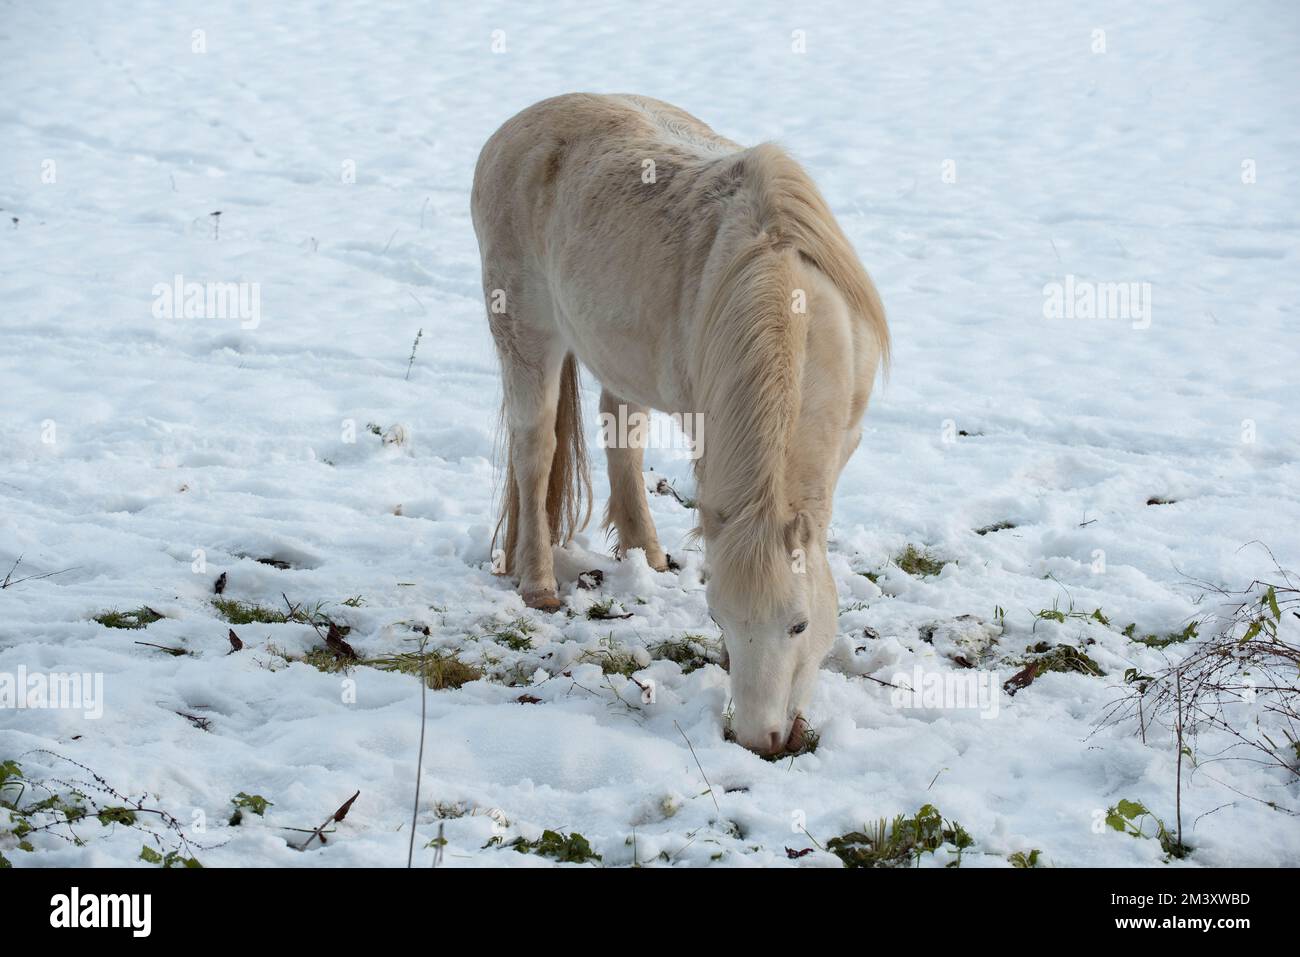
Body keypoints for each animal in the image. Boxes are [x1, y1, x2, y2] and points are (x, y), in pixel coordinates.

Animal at [471, 94, 888, 755]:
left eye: (799, 624)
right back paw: (537, 583)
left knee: (621, 435)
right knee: (535, 452)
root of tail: (509, 131)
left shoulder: (845, 439)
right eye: (719, 620)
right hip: (526, 335)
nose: (761, 739)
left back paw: (649, 555)